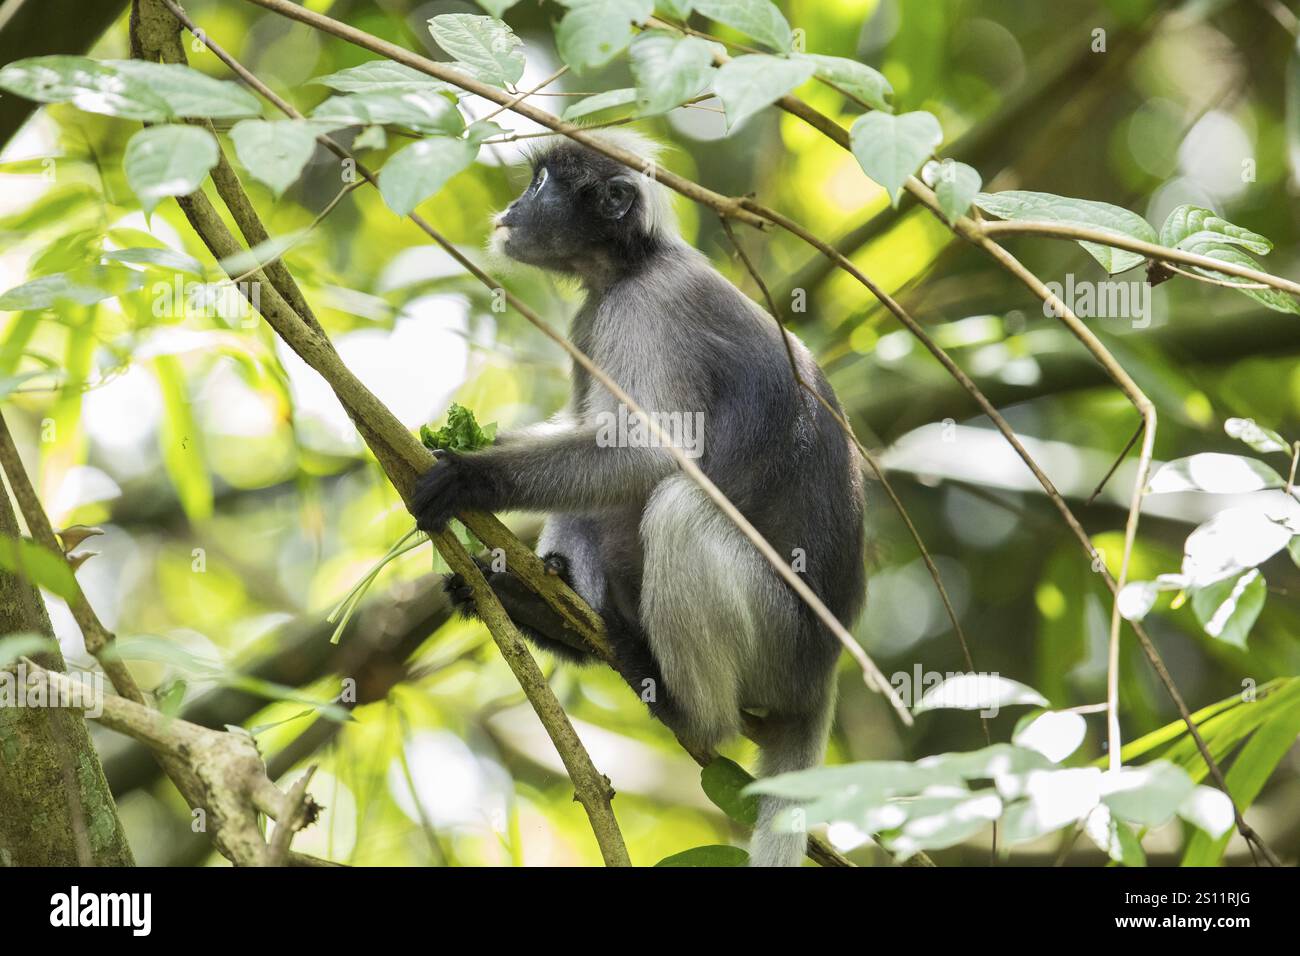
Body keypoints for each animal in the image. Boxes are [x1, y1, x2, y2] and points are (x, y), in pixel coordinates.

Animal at [409, 130, 866, 867]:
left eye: (542, 184)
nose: (513, 207)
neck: (628, 268)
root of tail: (820, 674)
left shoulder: (649, 310)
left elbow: (651, 454)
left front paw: (469, 474)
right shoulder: (592, 320)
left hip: (777, 640)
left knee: (677, 508)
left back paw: (686, 708)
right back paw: (551, 613)